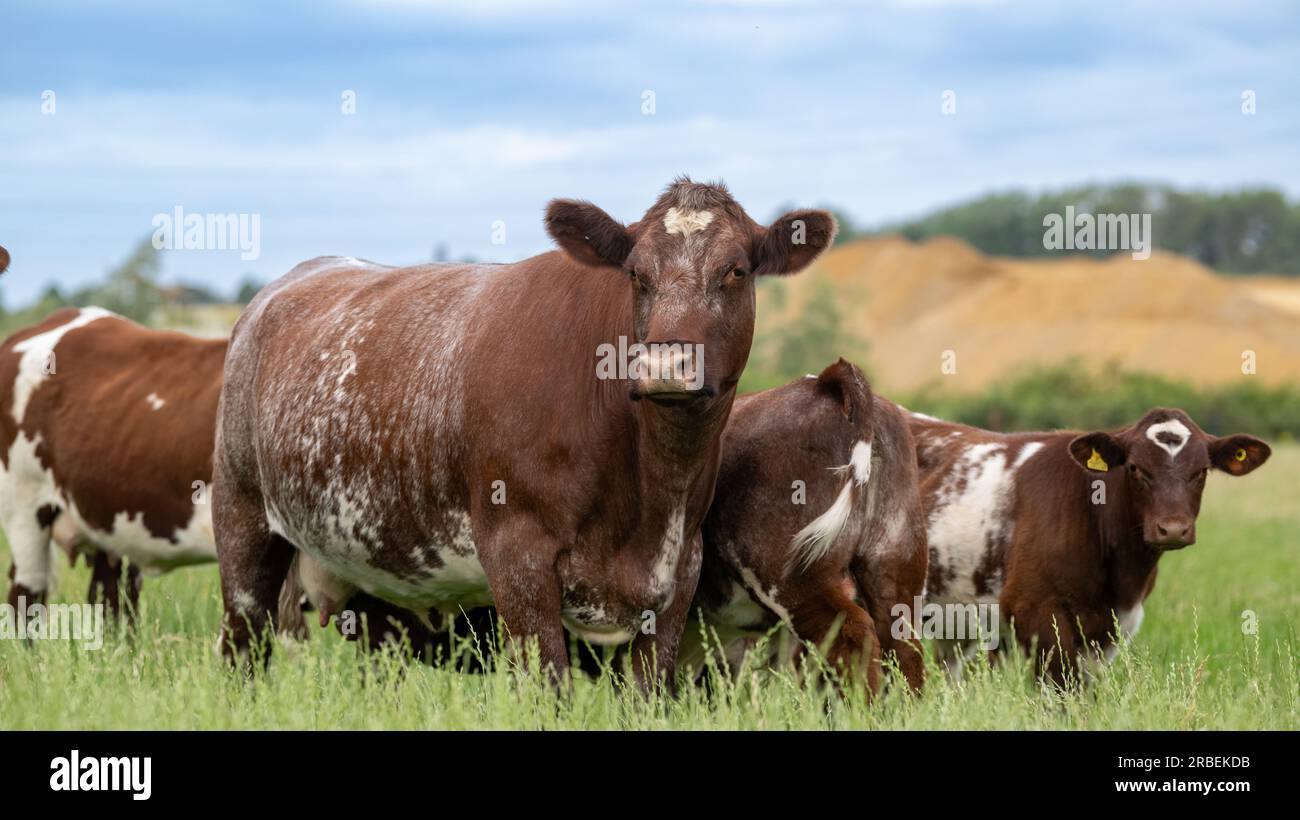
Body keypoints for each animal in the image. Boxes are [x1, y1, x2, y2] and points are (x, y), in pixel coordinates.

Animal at [212, 177, 836, 688]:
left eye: (735, 270)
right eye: (637, 274)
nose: (666, 366)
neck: (652, 489)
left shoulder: (679, 570)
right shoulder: (517, 555)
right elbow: (548, 688)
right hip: (241, 518)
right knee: (242, 647)